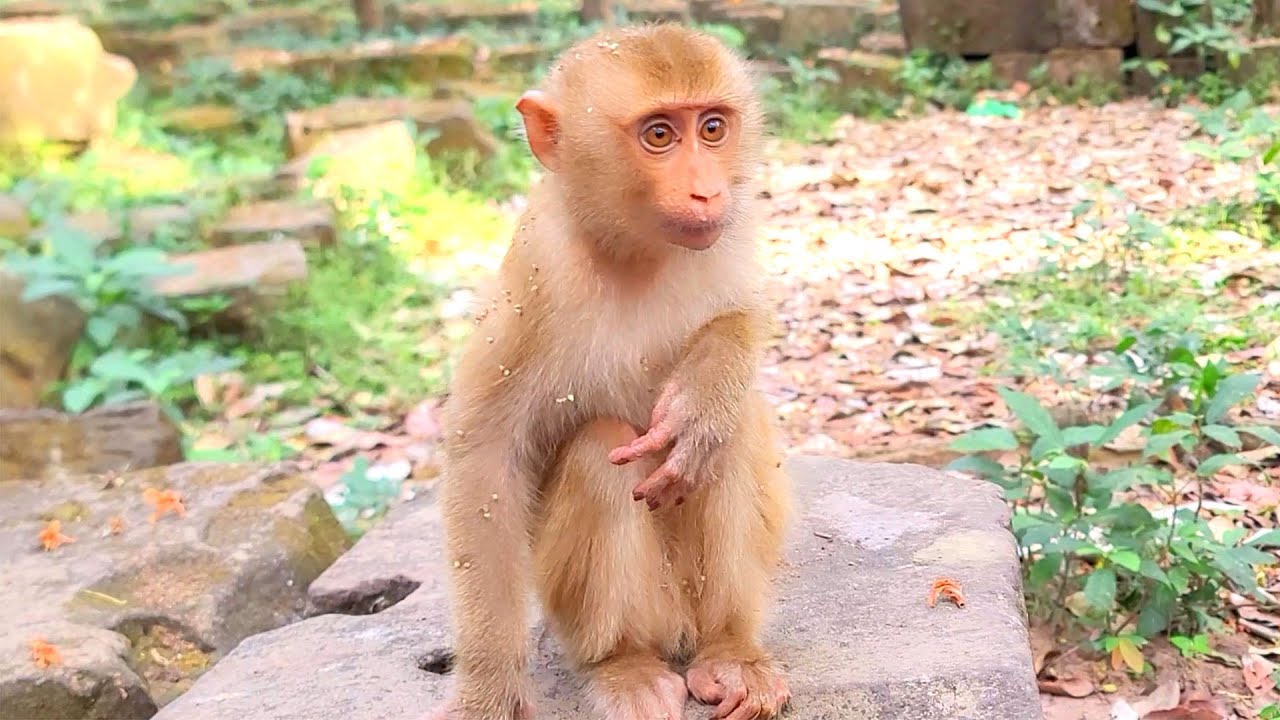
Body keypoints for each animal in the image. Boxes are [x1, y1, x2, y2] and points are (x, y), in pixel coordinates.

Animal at [428, 23, 792, 720]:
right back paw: (625, 664)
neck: (635, 249)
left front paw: (707, 390)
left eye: (712, 128)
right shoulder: (537, 272)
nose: (708, 190)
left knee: (733, 436)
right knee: (601, 450)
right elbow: (485, 452)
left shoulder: (730, 232)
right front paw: (489, 688)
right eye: (659, 135)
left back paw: (729, 653)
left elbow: (743, 315)